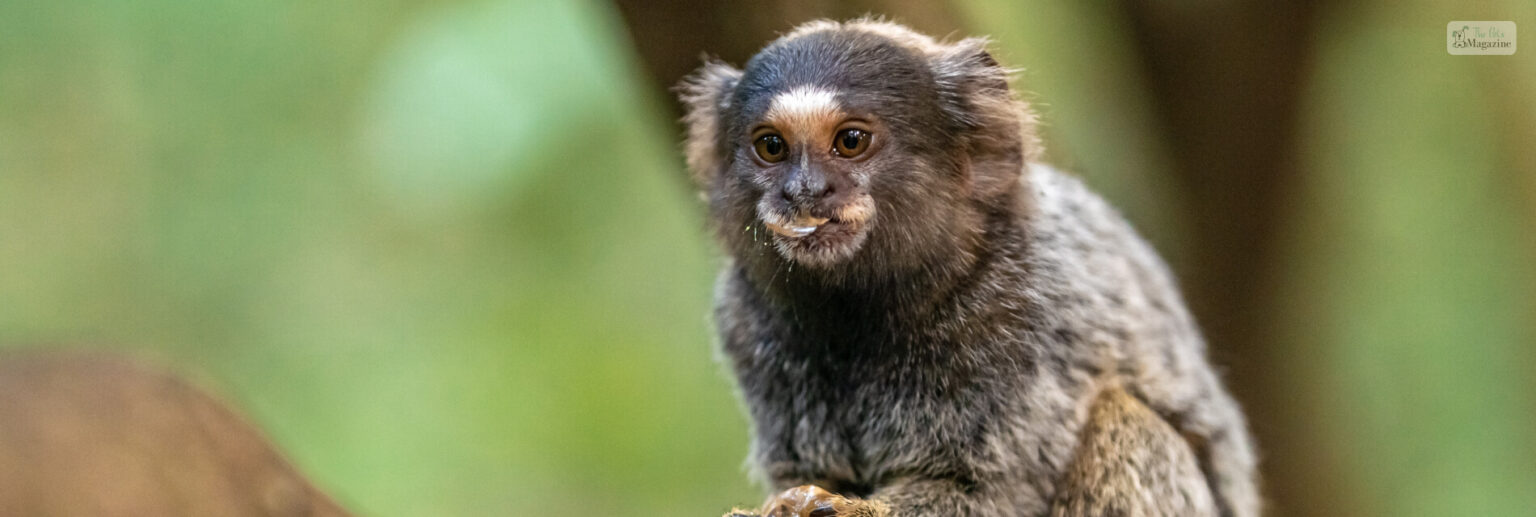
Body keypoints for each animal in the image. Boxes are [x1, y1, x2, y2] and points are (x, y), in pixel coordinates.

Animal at [678, 18, 1259, 517]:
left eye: (850, 141)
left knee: (1128, 424)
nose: (804, 192)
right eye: (772, 147)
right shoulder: (747, 324)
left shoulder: (1030, 310)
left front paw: (845, 508)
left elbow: (989, 490)